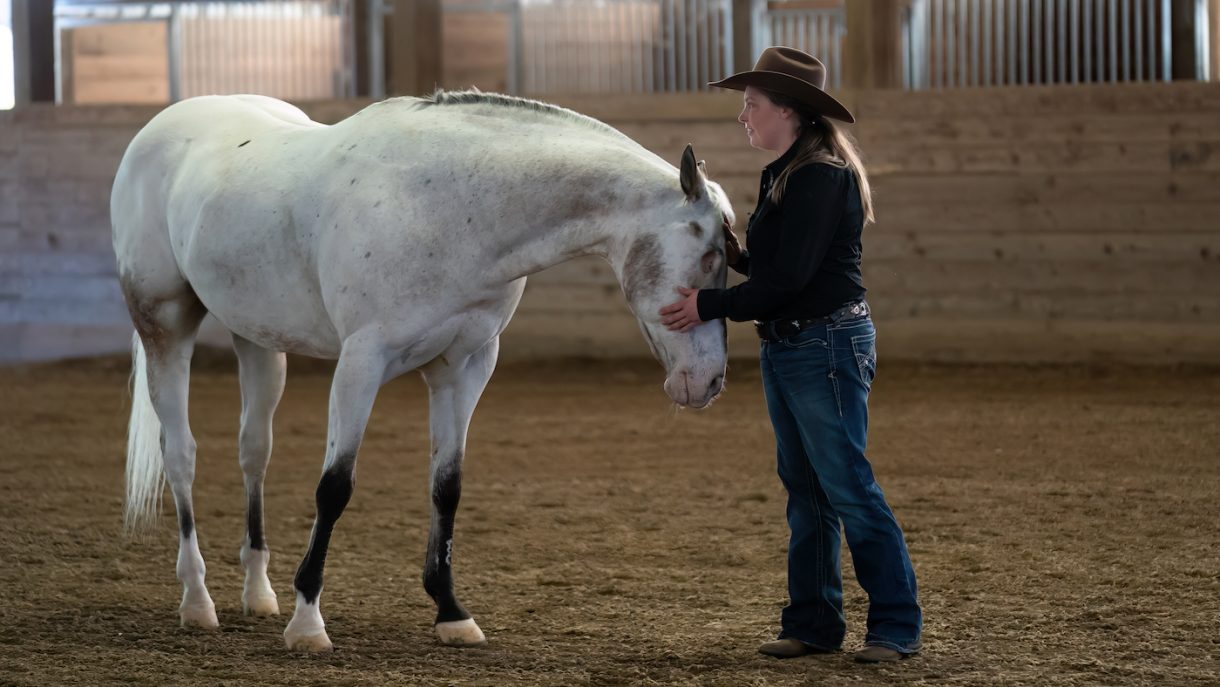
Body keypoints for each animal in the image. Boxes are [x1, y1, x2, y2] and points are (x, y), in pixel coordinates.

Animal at [111, 90, 735, 651]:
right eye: (710, 256)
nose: (708, 382)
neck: (452, 206)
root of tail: (158, 129)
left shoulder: (465, 367)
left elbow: (447, 486)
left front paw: (452, 613)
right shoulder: (361, 362)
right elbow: (334, 487)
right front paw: (308, 622)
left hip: (258, 341)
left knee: (253, 451)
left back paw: (257, 594)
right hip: (165, 326)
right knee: (181, 454)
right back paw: (198, 602)